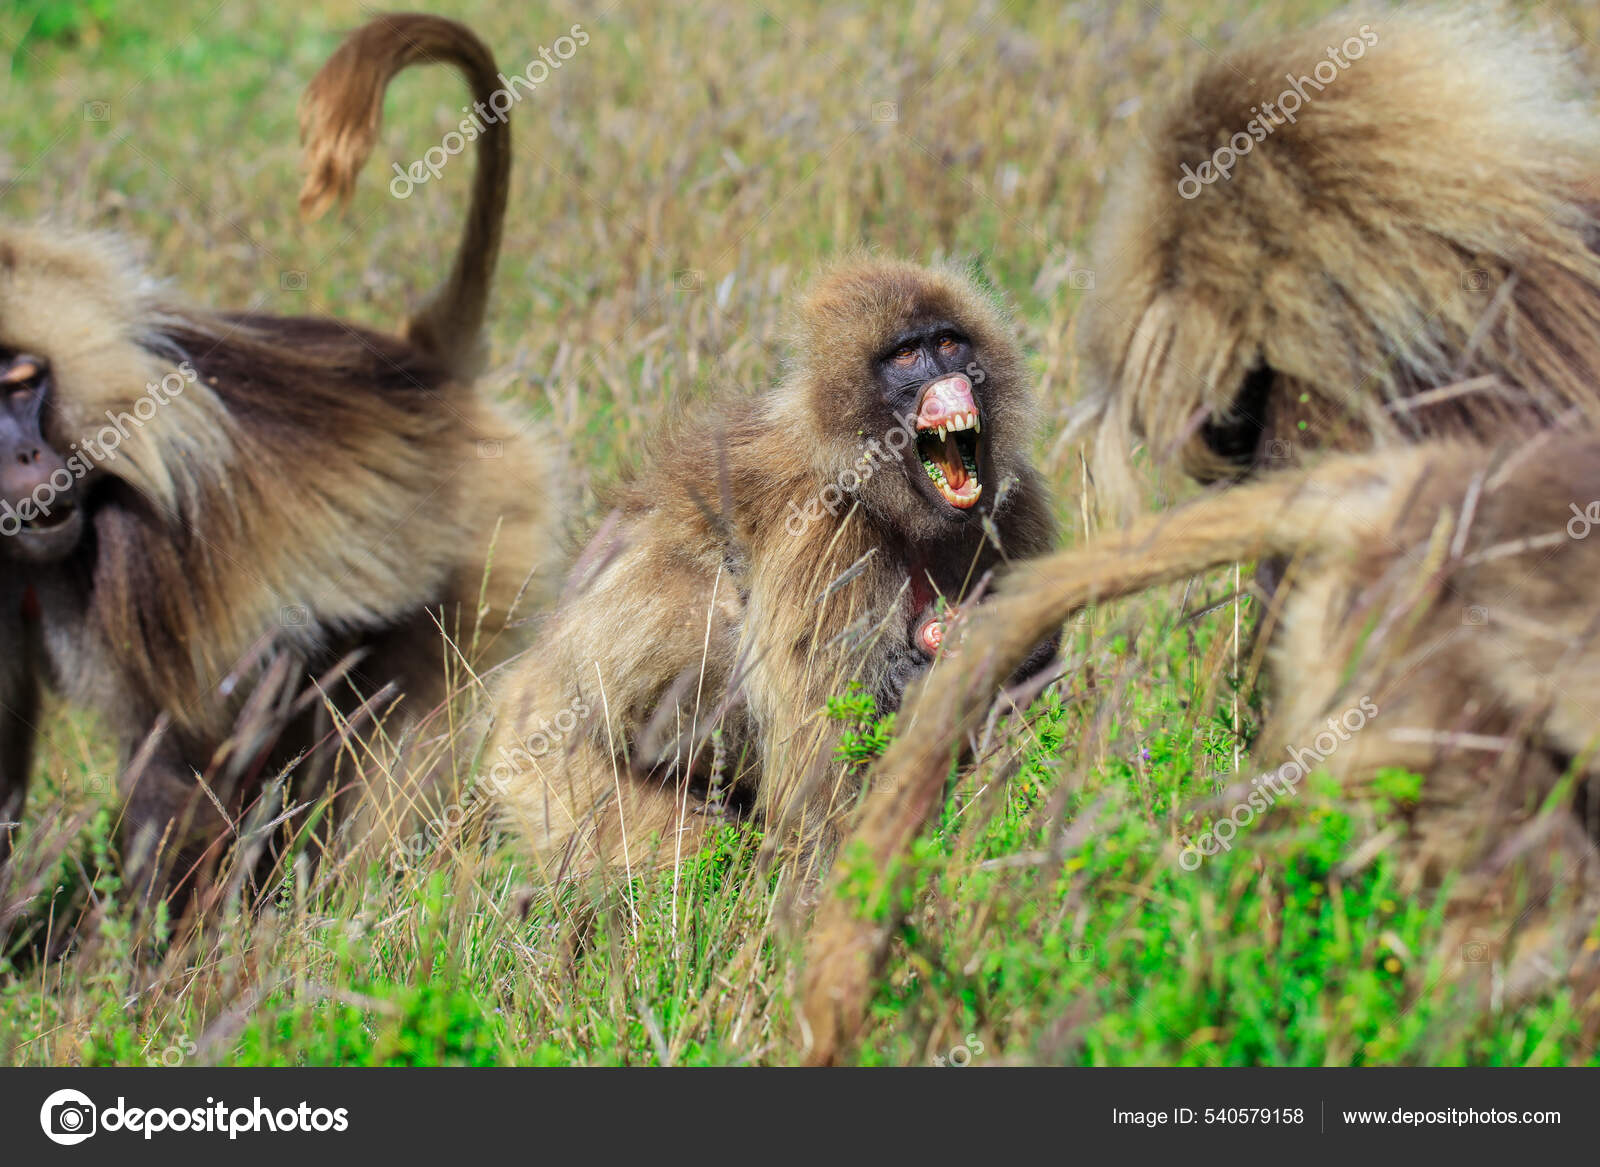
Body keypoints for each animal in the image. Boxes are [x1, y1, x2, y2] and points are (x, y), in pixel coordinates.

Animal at [0, 14, 566, 902]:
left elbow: (182, 760)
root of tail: (420, 368)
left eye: (24, 384)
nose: (27, 455)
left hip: (487, 542)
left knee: (392, 750)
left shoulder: (145, 558)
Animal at [488, 258, 1057, 878]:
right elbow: (824, 773)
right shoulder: (821, 538)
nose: (953, 381)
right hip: (555, 776)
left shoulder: (1014, 506)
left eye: (950, 343)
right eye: (907, 356)